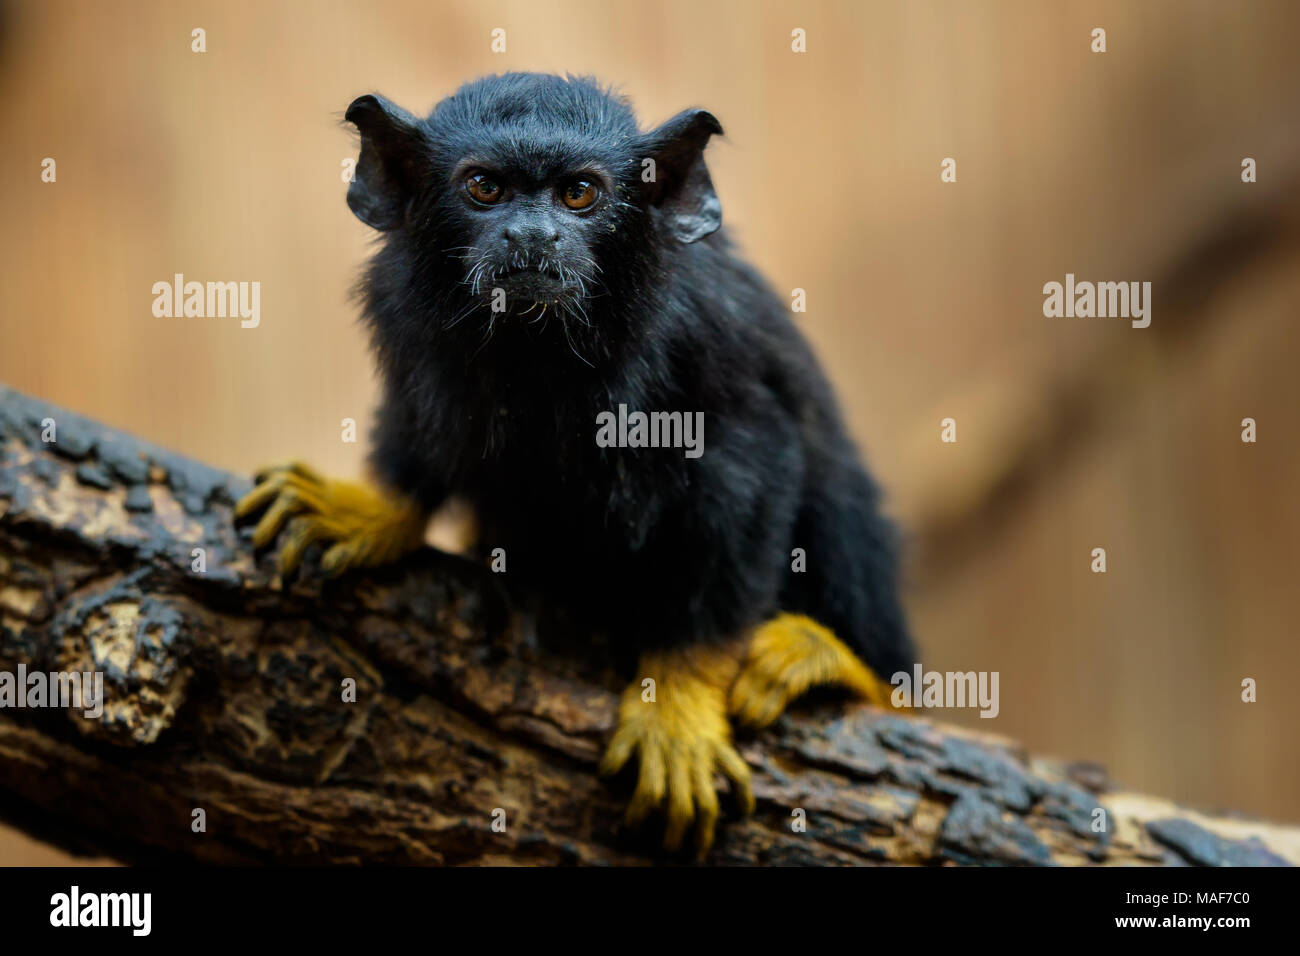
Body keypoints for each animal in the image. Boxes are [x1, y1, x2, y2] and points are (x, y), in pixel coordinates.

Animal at [236, 72, 917, 859]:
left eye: (580, 194)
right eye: (485, 188)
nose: (533, 236)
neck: (541, 346)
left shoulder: (700, 343)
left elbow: (753, 474)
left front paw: (679, 703)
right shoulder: (410, 324)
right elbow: (422, 427)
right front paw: (369, 510)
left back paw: (840, 666)